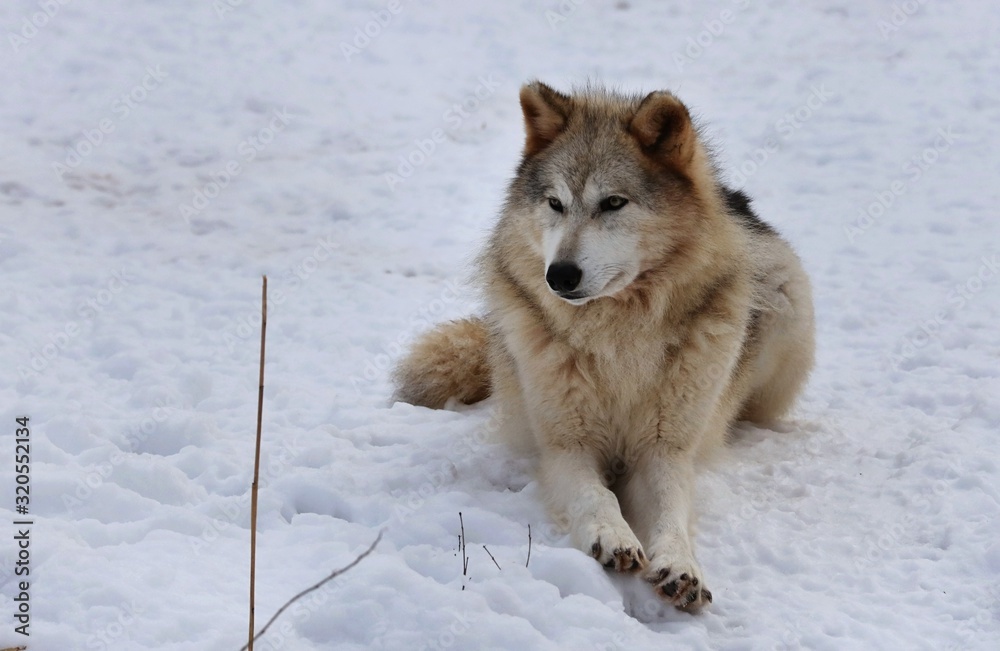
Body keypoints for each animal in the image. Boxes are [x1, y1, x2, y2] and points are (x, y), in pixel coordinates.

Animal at [393, 82, 815, 611]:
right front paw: (613, 537)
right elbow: (598, 495)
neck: (616, 335)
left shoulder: (664, 451)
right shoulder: (565, 448)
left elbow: (671, 515)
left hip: (784, 293)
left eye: (613, 203)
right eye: (555, 203)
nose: (559, 275)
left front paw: (681, 567)